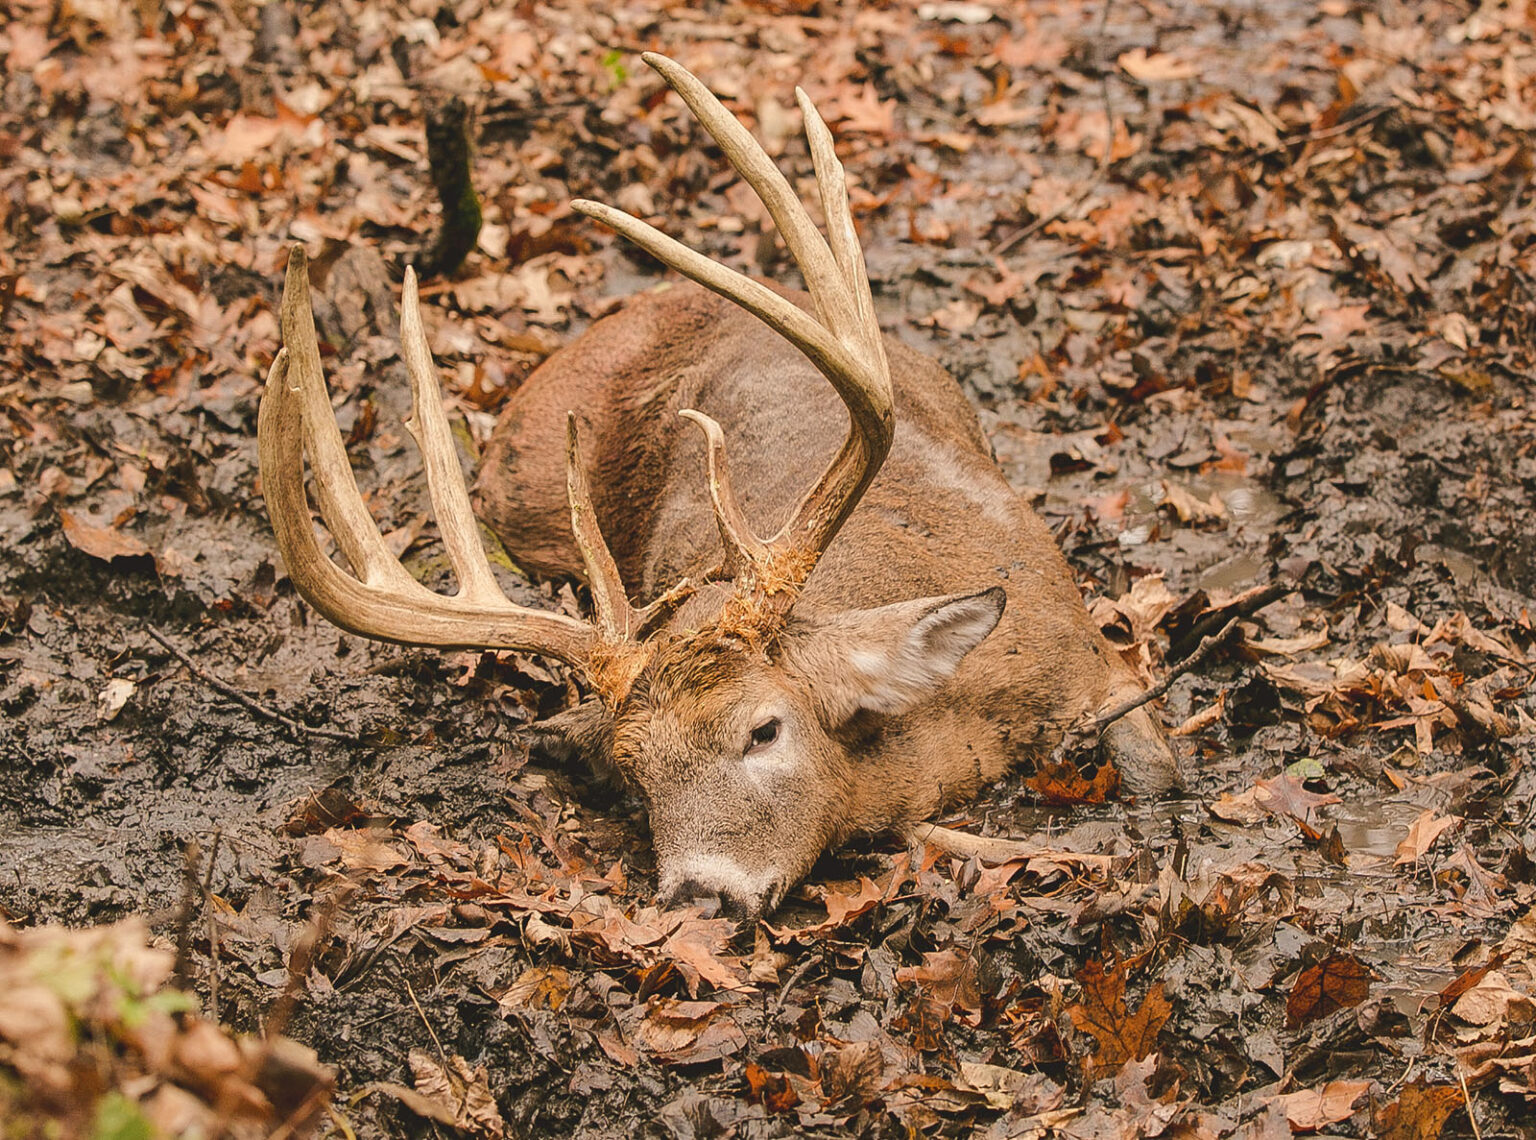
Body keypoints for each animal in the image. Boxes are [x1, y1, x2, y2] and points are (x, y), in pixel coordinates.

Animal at [258, 54, 1180, 922]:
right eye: (635, 773)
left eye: (764, 730)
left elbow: (1159, 770)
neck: (950, 720)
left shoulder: (1090, 654)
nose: (699, 894)